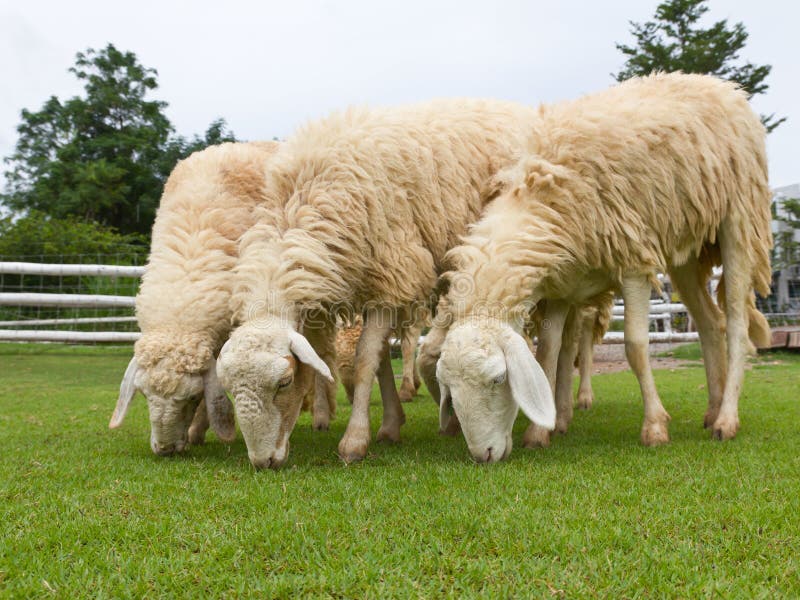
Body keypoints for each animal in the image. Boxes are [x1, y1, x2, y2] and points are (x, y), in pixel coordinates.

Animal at [109, 140, 337, 454]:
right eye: (143, 394)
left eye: (192, 397)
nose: (165, 449)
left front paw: (199, 428)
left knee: (323, 354)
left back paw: (322, 415)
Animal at [216, 98, 539, 467]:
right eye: (230, 389)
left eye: (284, 382)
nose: (263, 461)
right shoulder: (371, 282)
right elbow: (381, 356)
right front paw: (390, 424)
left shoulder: (393, 272)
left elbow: (365, 359)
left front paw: (355, 439)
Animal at [434, 73, 772, 462]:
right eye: (448, 387)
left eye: (498, 379)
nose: (483, 455)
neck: (540, 198)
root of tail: (721, 86)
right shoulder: (562, 285)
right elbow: (549, 352)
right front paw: (539, 432)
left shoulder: (634, 262)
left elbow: (635, 347)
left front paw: (655, 427)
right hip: (687, 246)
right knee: (709, 323)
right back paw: (713, 408)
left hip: (738, 219)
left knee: (735, 324)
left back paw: (727, 420)